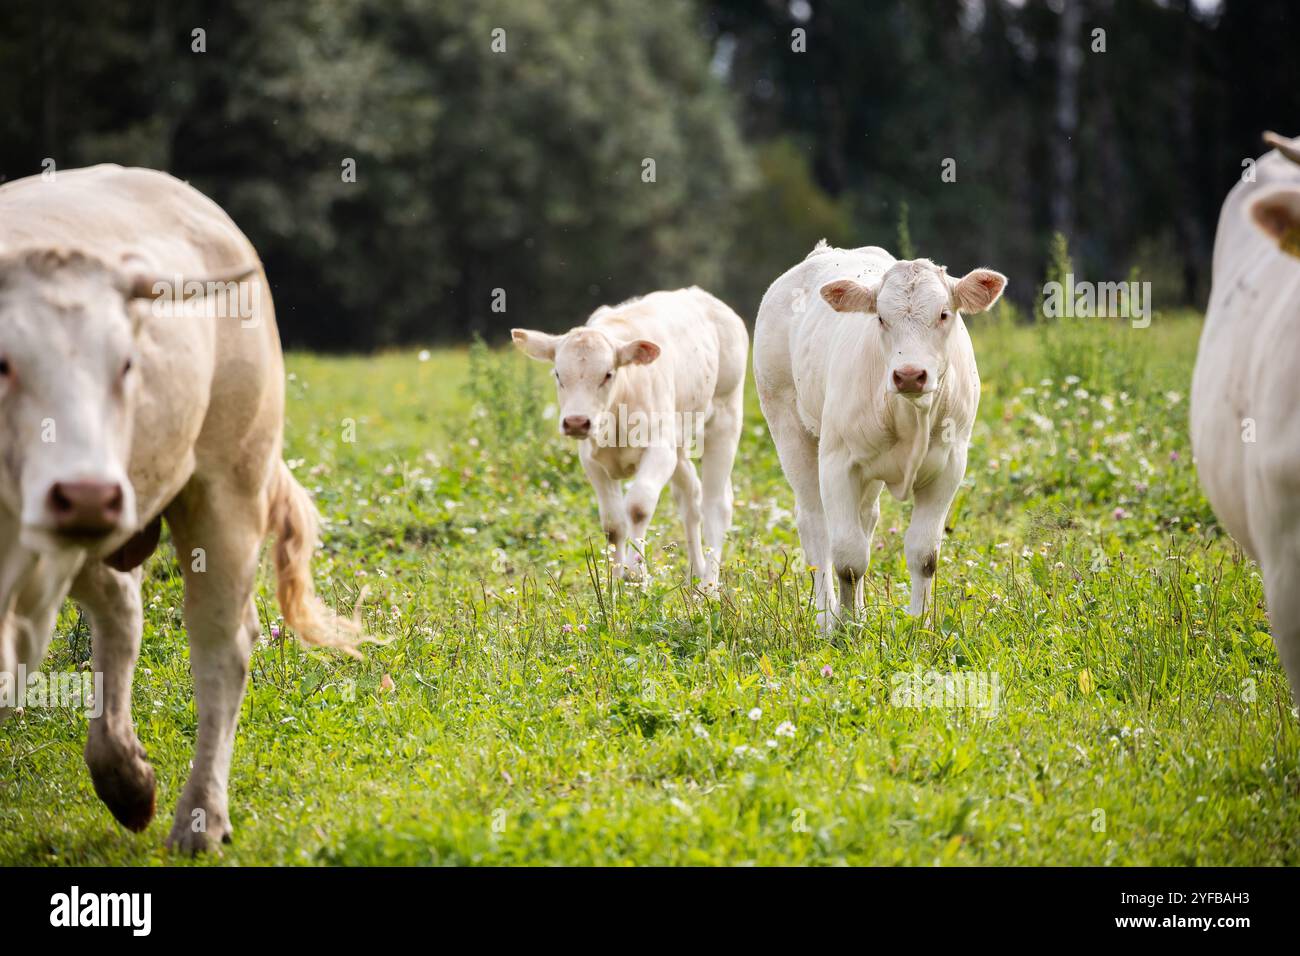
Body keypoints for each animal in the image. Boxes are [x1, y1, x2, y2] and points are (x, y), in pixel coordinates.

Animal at [0, 164, 363, 852]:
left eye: (127, 364)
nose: (86, 491)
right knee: (121, 611)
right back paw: (125, 776)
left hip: (226, 488)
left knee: (223, 646)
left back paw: (199, 816)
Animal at [511, 288, 748, 586]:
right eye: (557, 374)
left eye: (608, 374)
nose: (576, 422)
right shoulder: (592, 461)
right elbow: (613, 525)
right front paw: (614, 587)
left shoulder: (660, 450)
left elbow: (638, 507)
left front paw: (636, 573)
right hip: (680, 442)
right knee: (689, 499)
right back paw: (696, 573)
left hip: (725, 417)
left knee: (716, 506)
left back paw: (709, 586)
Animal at [754, 241, 1006, 632]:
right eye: (881, 318)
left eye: (944, 314)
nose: (909, 374)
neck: (909, 415)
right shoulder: (837, 462)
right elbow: (848, 558)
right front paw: (844, 628)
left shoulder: (950, 466)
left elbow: (923, 554)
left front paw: (919, 625)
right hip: (787, 426)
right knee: (815, 527)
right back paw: (826, 617)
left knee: (866, 518)